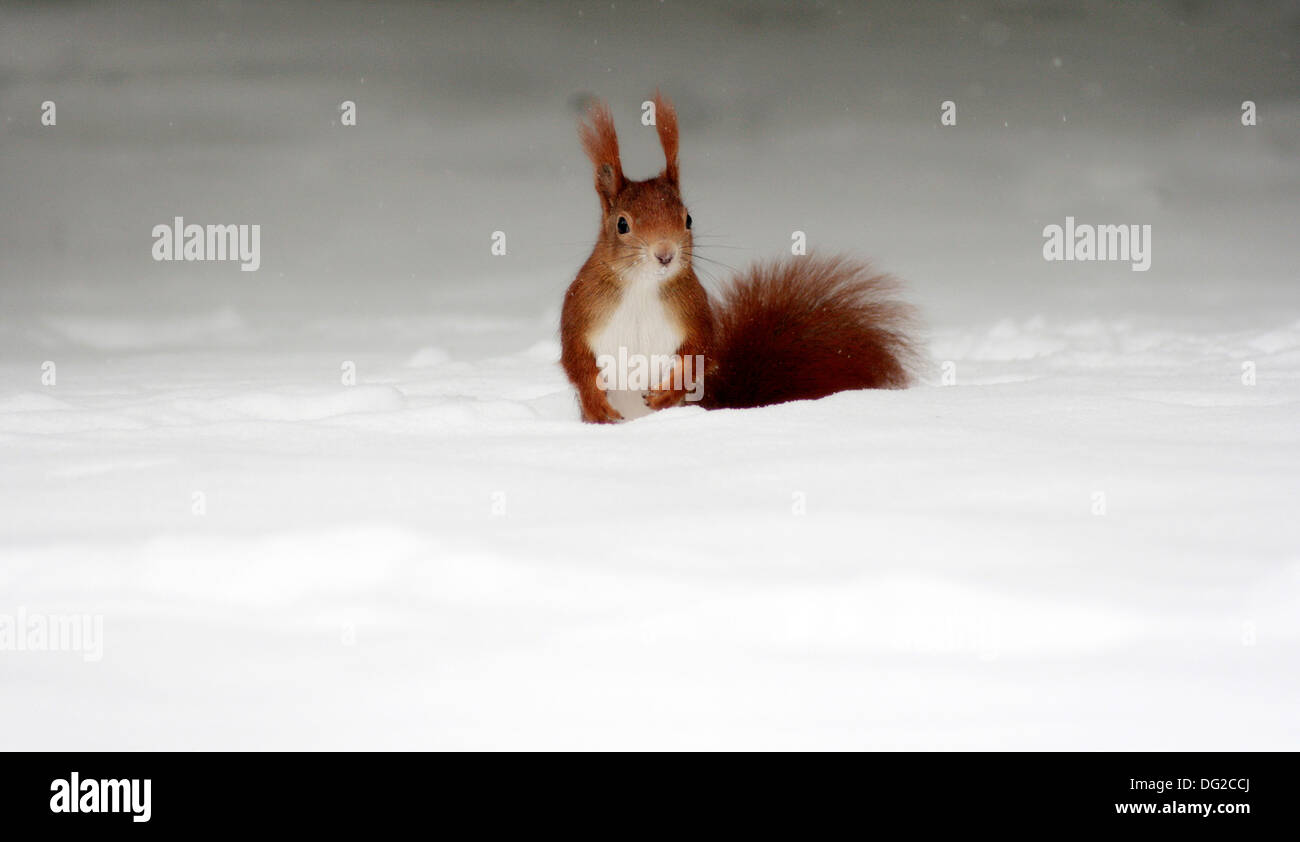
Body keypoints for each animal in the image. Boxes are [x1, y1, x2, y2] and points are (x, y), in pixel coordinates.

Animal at [561, 93, 918, 424]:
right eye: (622, 224)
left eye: (688, 219)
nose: (665, 254)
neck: (642, 286)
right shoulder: (581, 307)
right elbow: (576, 360)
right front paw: (595, 402)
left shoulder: (693, 311)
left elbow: (699, 352)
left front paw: (666, 393)